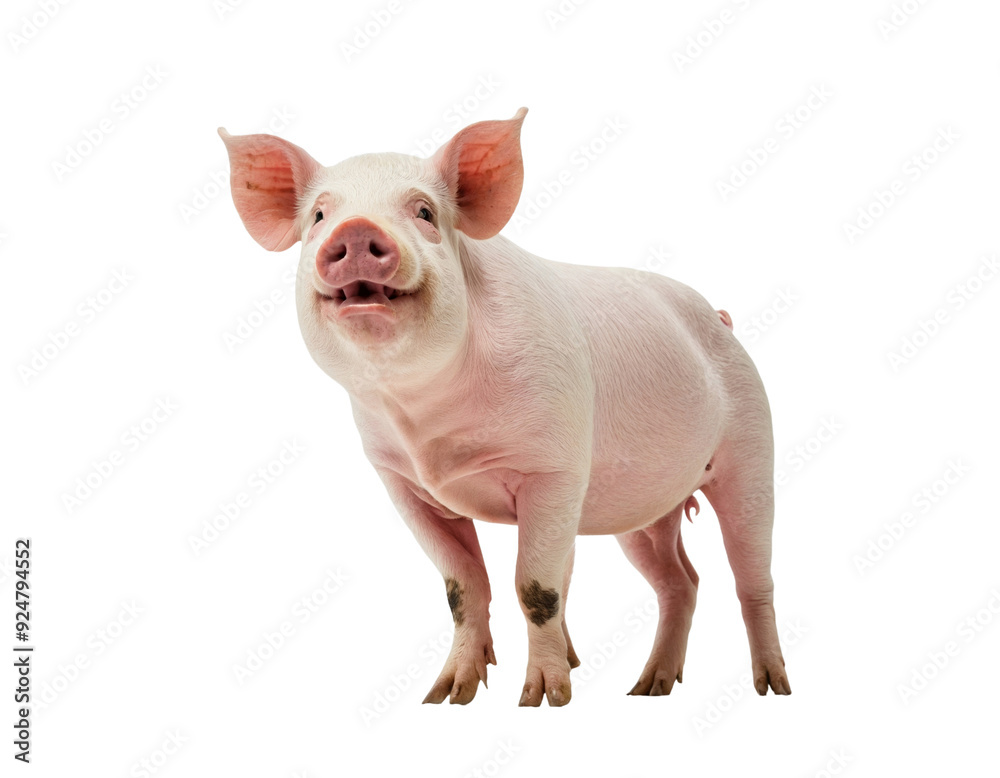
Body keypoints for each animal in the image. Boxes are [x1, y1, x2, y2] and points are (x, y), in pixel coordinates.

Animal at [218, 108, 791, 706]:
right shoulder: (402, 484)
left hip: (753, 448)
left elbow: (536, 588)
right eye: (319, 215)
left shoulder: (555, 469)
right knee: (682, 581)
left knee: (753, 577)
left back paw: (772, 687)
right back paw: (647, 690)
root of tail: (720, 318)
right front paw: (446, 696)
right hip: (642, 506)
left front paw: (544, 699)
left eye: (424, 212)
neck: (427, 415)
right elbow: (463, 588)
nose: (355, 230)